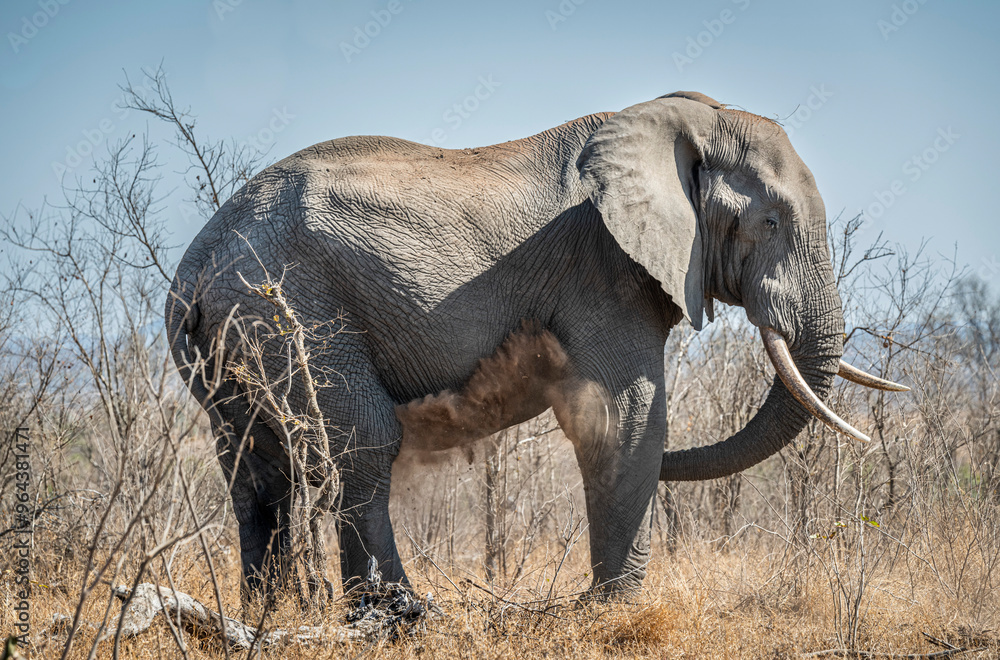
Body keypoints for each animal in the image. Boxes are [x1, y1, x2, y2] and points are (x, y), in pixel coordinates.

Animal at [165, 90, 907, 598]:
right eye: (771, 221)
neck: (676, 121)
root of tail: (194, 268)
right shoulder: (603, 266)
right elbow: (627, 416)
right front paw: (610, 609)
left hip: (234, 340)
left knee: (258, 469)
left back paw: (279, 614)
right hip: (288, 309)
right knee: (363, 443)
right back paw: (401, 616)